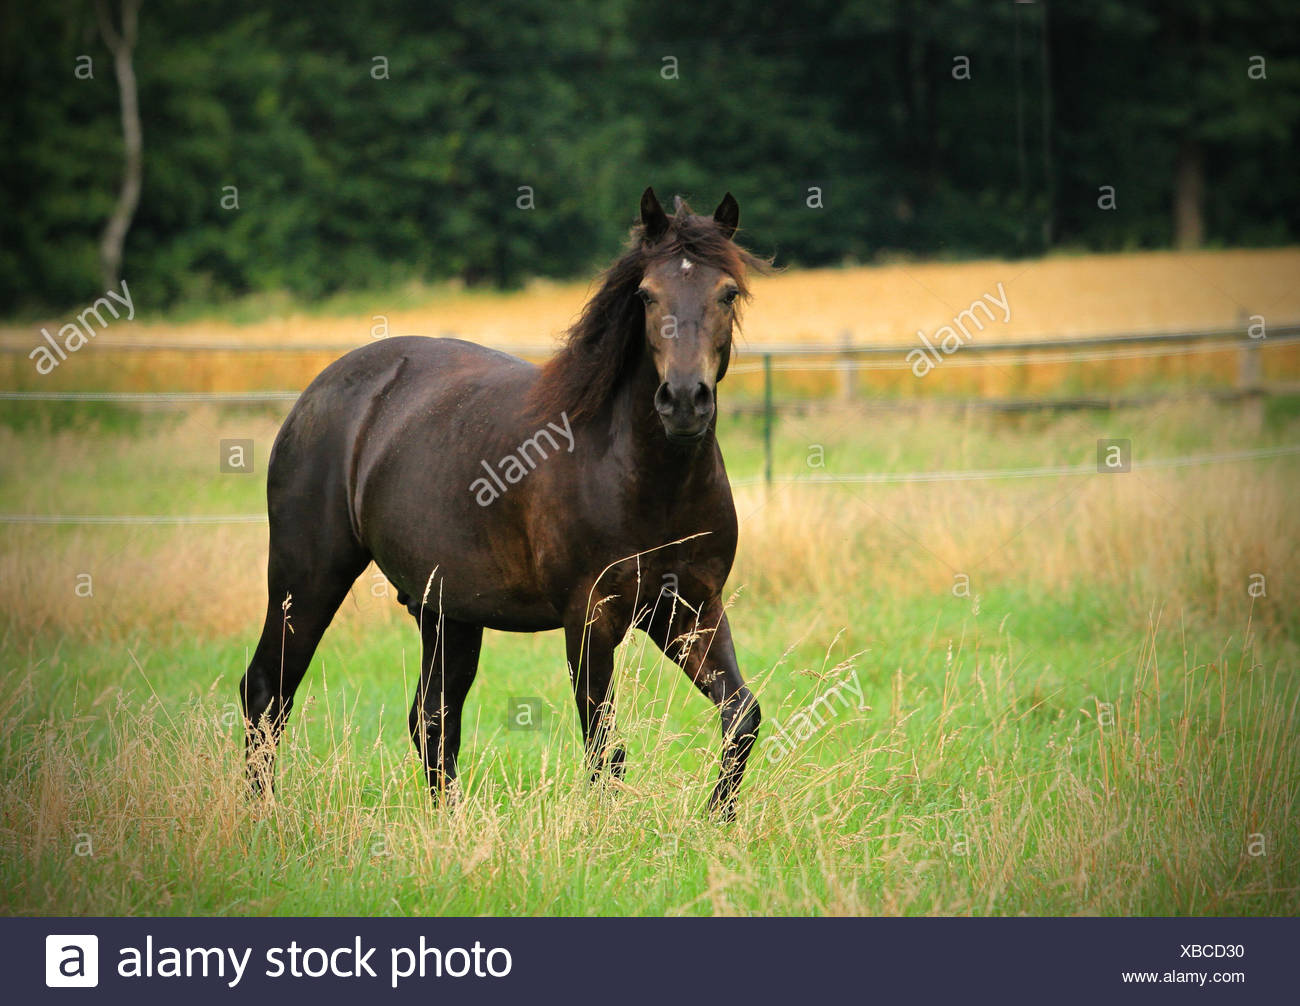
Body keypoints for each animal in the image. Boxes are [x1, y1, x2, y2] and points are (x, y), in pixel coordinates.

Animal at [239, 188, 766, 819]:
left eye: (727, 292)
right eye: (646, 294)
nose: (684, 401)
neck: (649, 479)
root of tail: (315, 396)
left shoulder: (691, 609)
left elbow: (742, 717)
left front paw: (716, 821)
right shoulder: (590, 619)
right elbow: (604, 747)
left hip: (447, 612)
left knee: (432, 719)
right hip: (308, 578)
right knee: (267, 691)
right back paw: (262, 818)